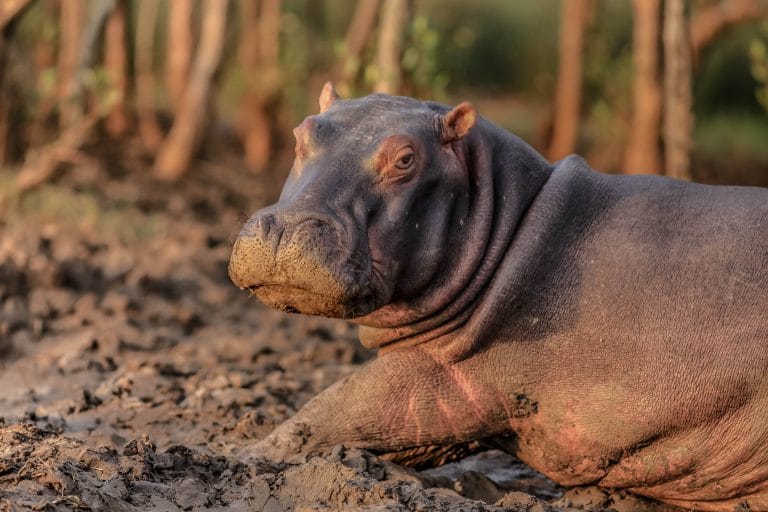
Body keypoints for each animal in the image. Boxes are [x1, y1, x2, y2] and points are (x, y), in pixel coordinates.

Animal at [228, 83, 768, 511]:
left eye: (406, 159)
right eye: (300, 133)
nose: (285, 229)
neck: (508, 217)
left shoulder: (442, 376)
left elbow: (332, 408)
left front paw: (240, 454)